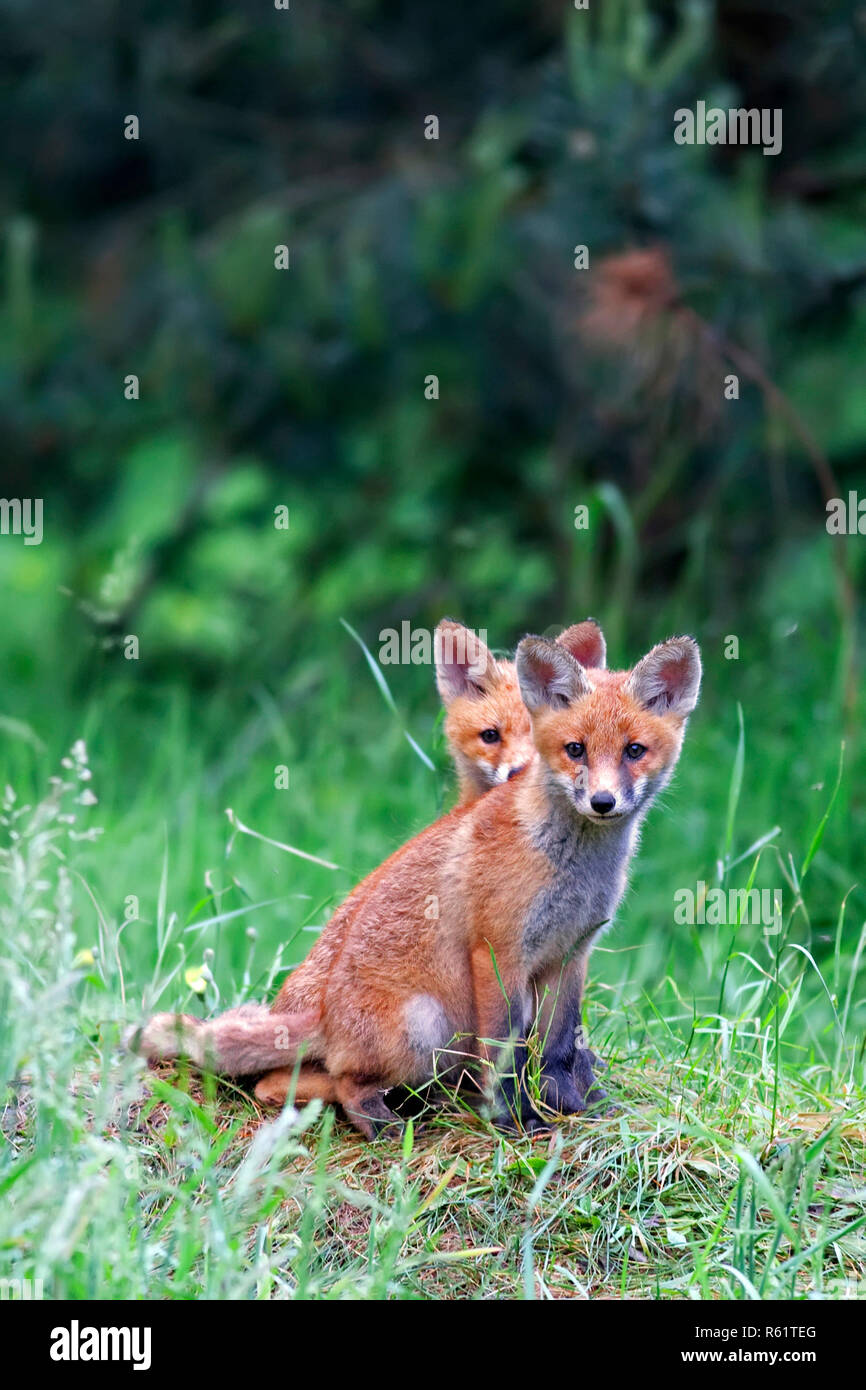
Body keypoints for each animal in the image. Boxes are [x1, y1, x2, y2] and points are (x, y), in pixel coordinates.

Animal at [134, 627, 701, 1139]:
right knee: (332, 1081)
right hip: (426, 1028)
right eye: (575, 749)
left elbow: (562, 1046)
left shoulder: (571, 953)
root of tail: (324, 1015)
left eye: (634, 750)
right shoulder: (497, 953)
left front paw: (578, 1107)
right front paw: (515, 1122)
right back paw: (383, 1122)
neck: (572, 868)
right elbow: (505, 1055)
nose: (603, 802)